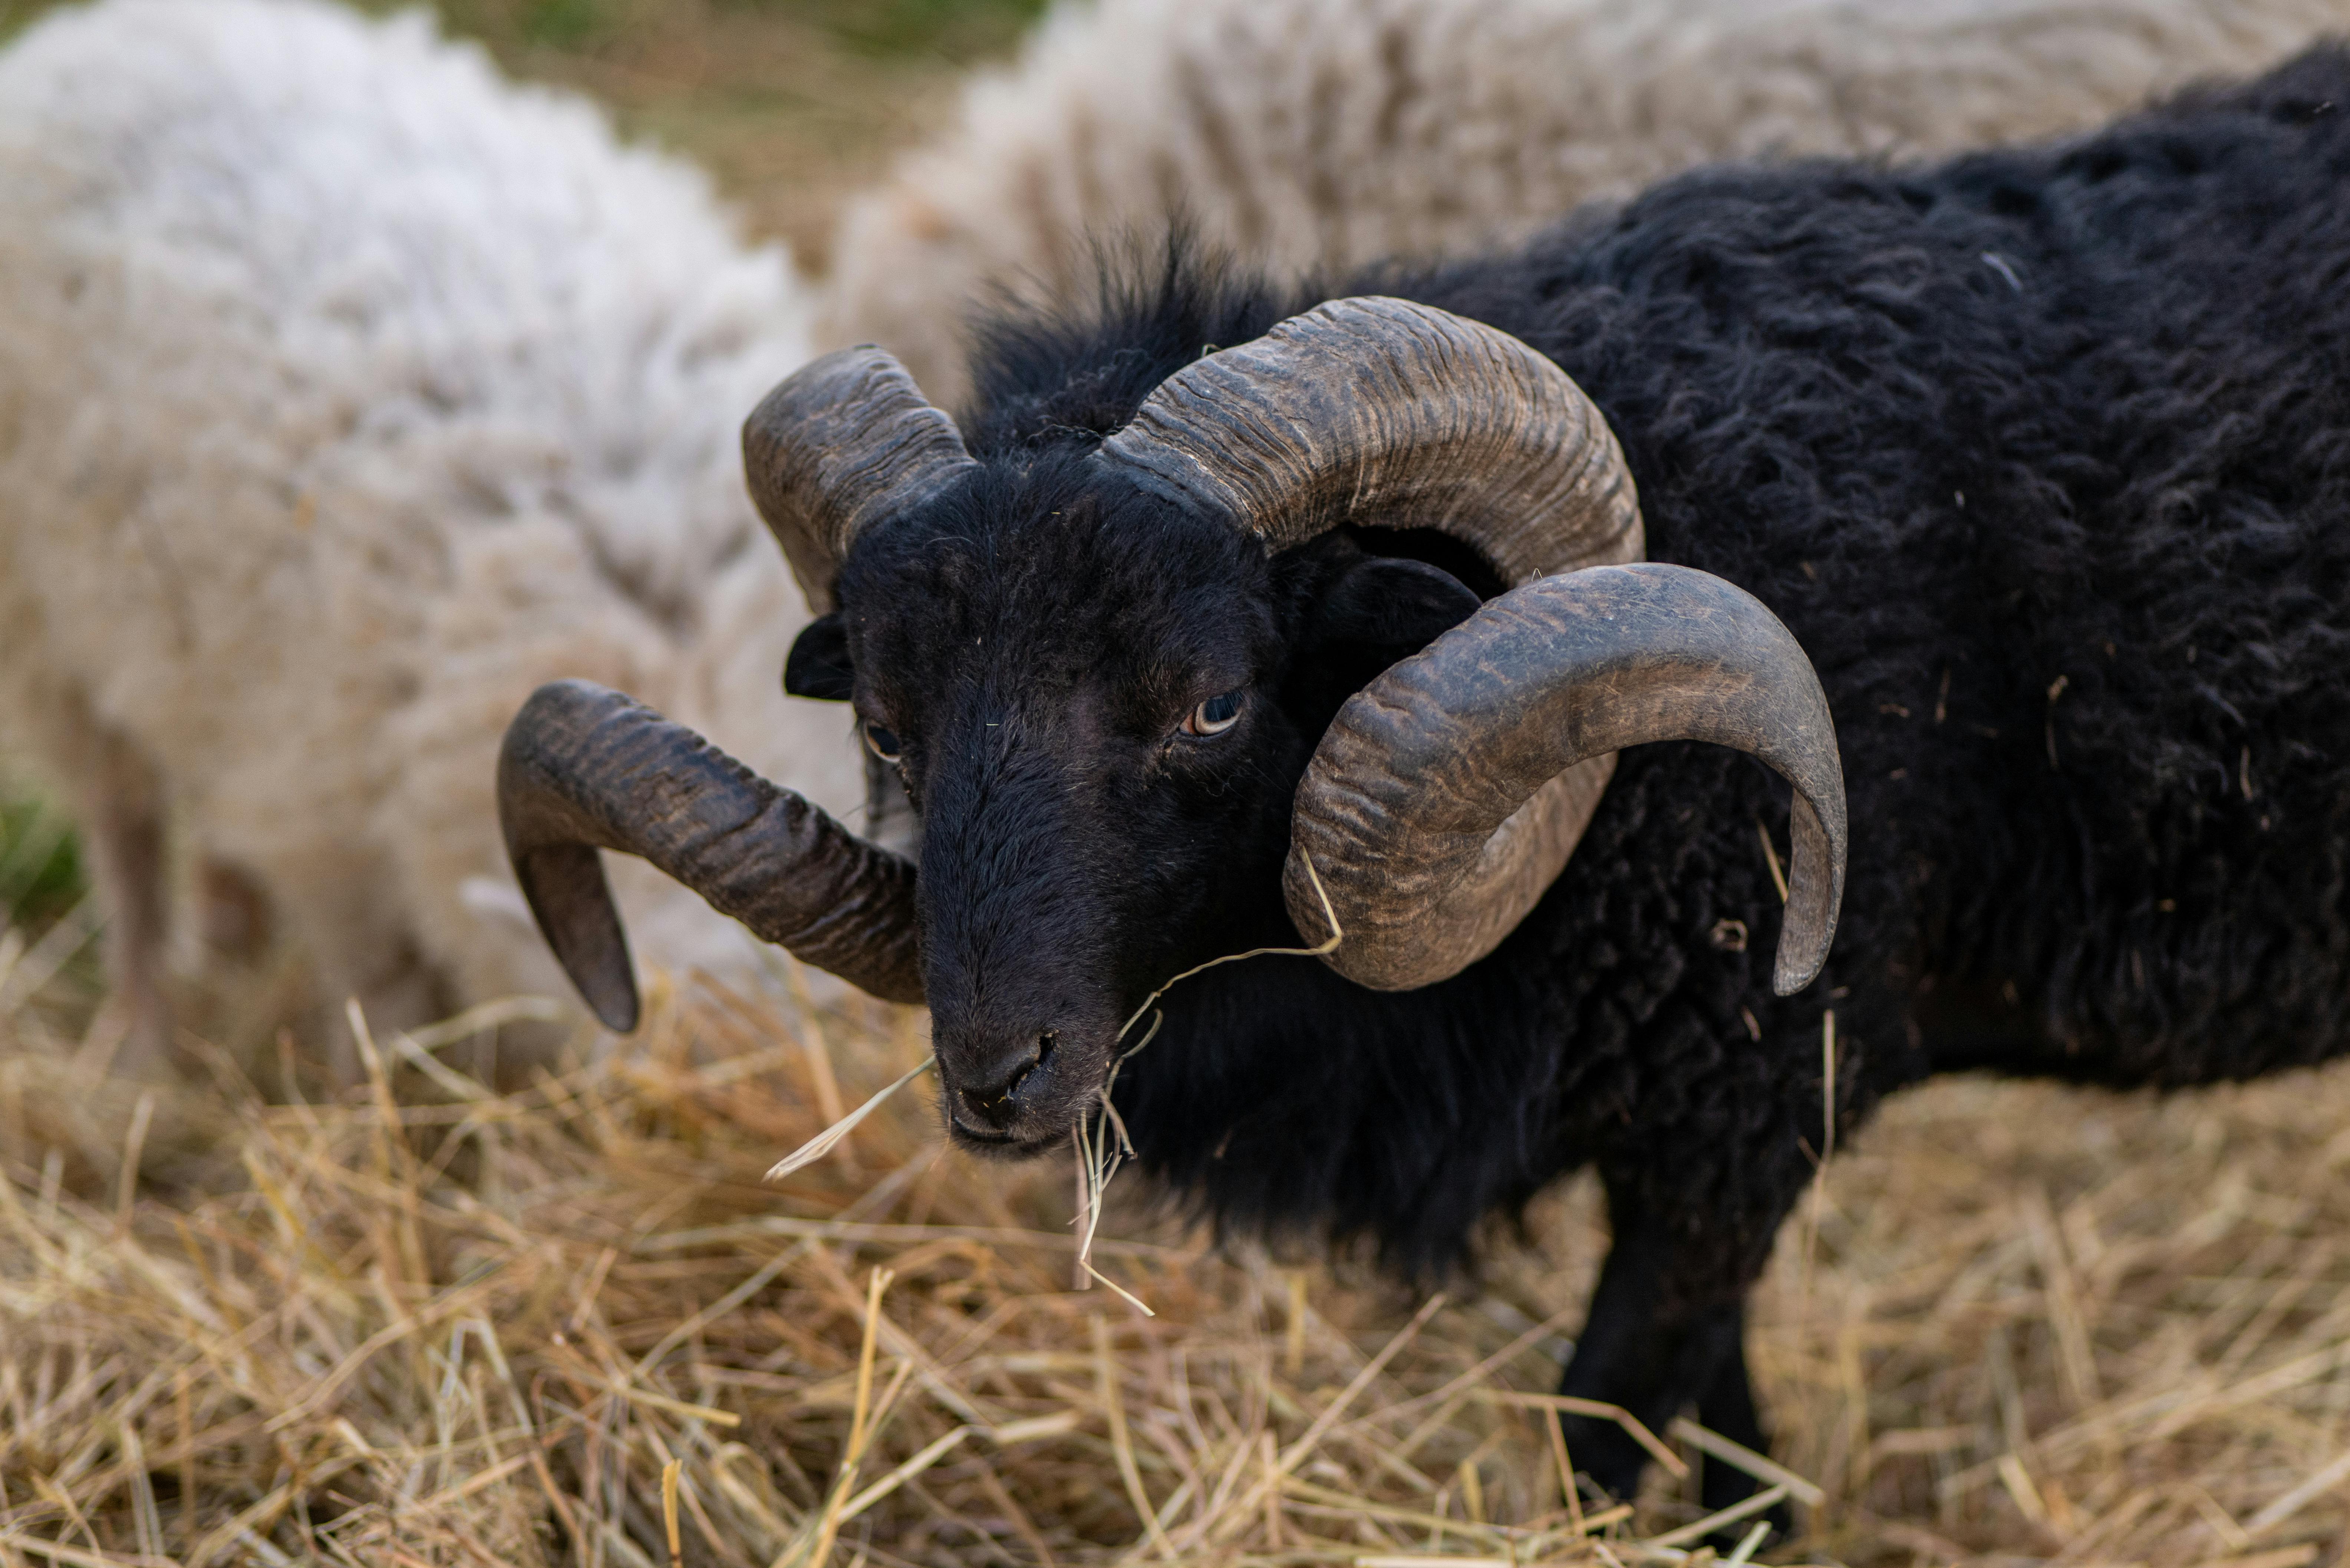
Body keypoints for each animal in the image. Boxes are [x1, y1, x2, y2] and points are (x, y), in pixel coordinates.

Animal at [0, 0, 865, 1079]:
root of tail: (98, 30)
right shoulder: (331, 829)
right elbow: (382, 997)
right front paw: (375, 1087)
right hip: (47, 629)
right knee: (124, 831)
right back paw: (143, 1048)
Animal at [504, 47, 2350, 1516]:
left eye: (1213, 703)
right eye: (888, 723)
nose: (997, 1078)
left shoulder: (1754, 1090)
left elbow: (1616, 1428)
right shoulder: (1700, 1123)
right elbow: (1724, 1450)